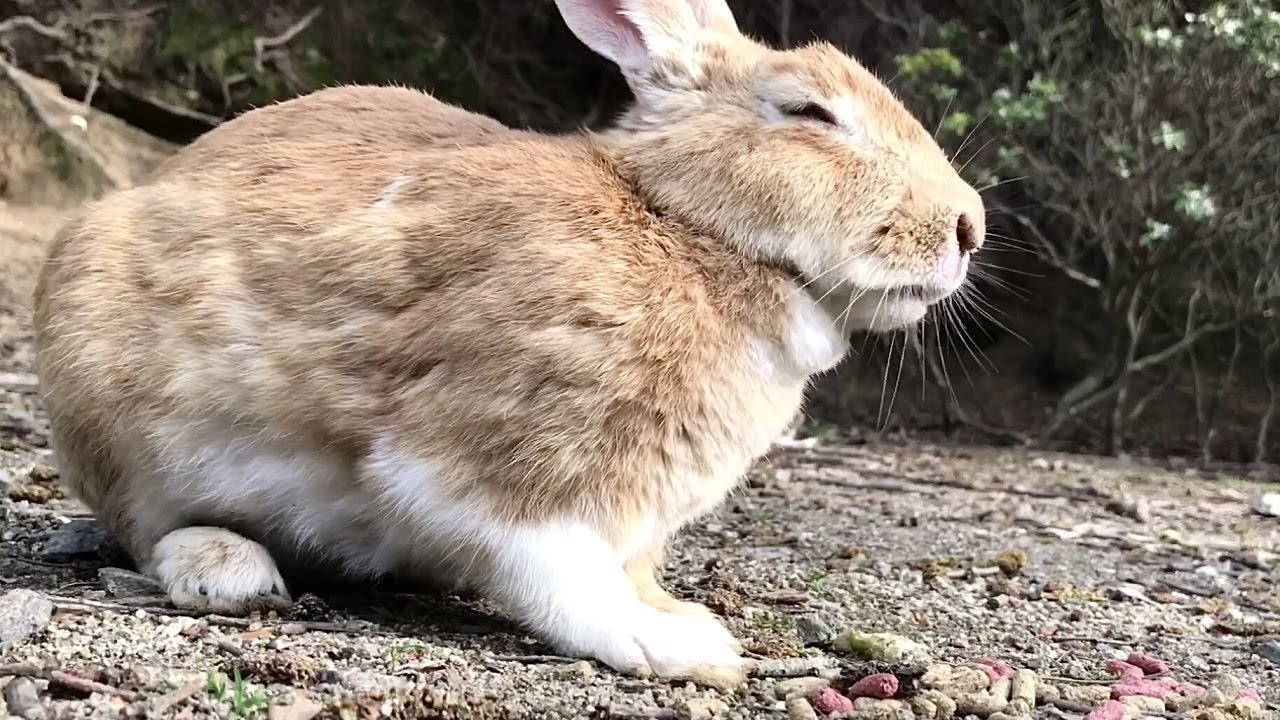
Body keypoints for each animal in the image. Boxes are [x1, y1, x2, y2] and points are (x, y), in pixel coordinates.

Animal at [31, 0, 985, 689]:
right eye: (809, 111)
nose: (969, 226)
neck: (684, 225)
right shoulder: (486, 462)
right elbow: (556, 569)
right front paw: (680, 649)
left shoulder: (633, 516)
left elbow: (628, 568)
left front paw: (678, 615)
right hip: (109, 413)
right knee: (142, 526)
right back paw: (224, 567)